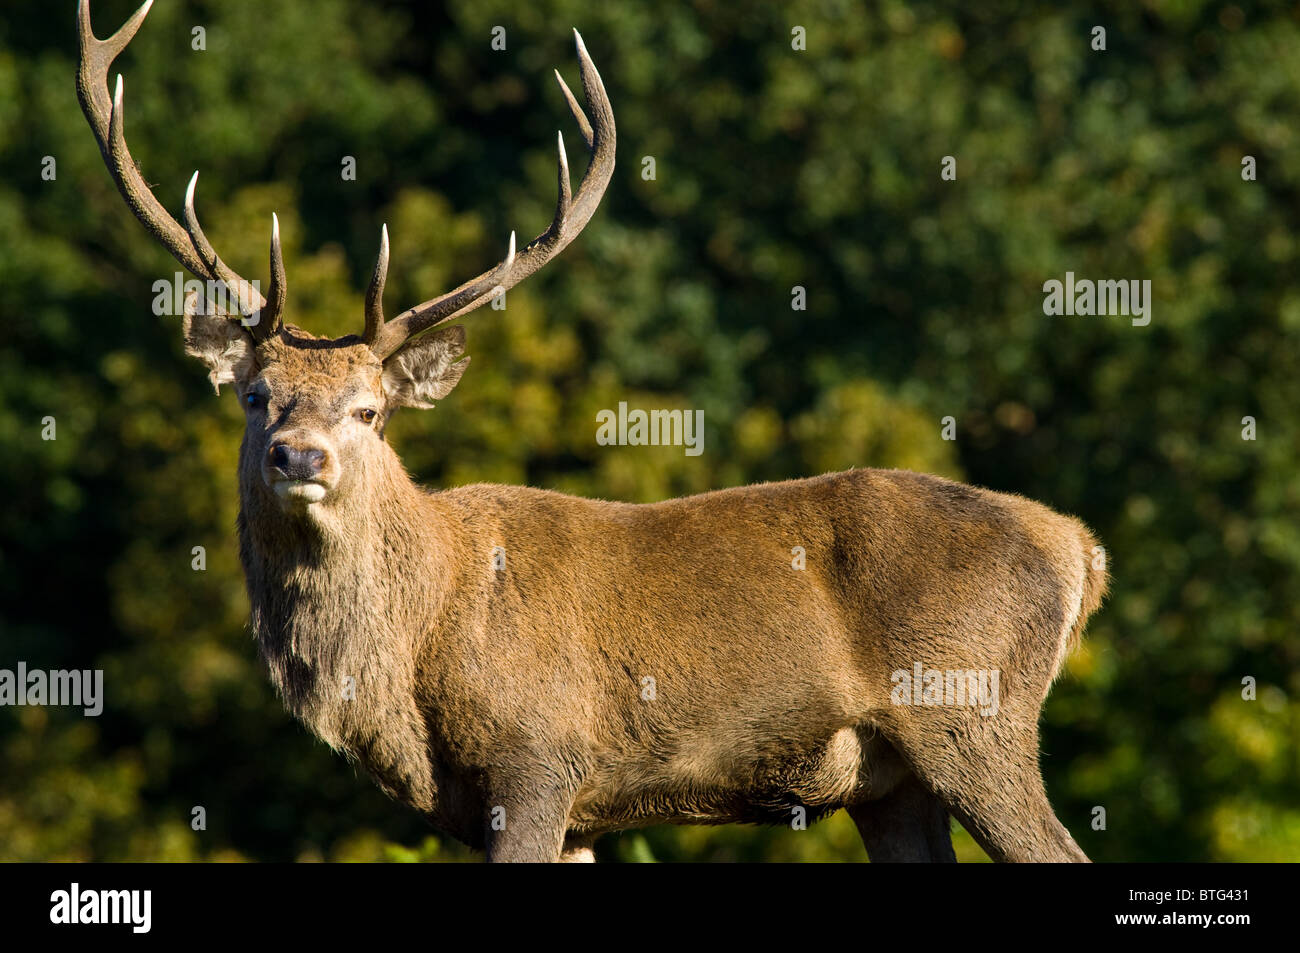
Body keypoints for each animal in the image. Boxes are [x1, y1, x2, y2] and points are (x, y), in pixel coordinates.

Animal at [78, 0, 1107, 863]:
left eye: (370, 410)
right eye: (257, 395)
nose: (300, 455)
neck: (411, 655)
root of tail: (1078, 547)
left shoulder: (536, 757)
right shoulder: (567, 808)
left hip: (973, 718)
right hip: (892, 782)